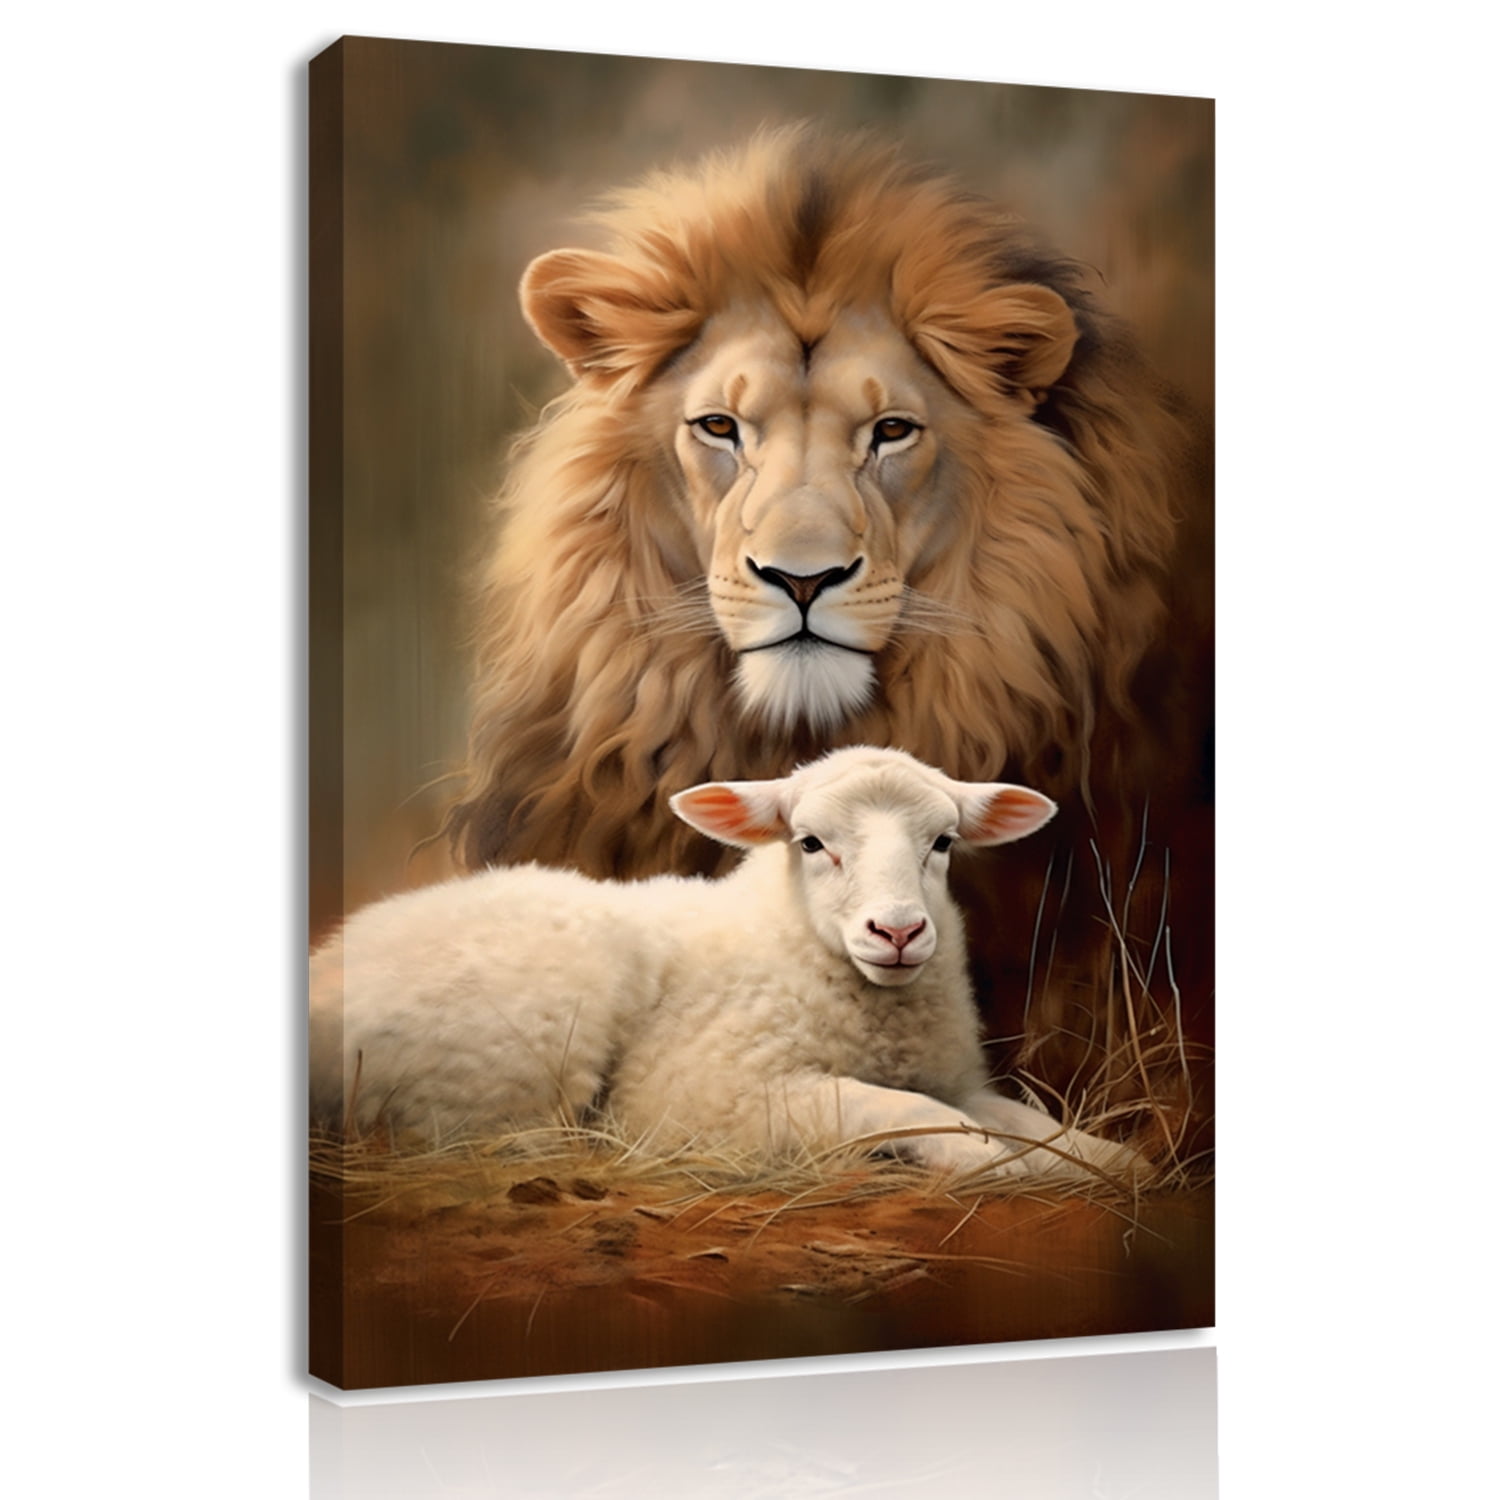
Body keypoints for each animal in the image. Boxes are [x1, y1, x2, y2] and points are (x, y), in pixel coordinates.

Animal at [310, 747, 1141, 1181]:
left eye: (942, 842)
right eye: (810, 842)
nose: (899, 931)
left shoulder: (955, 1077)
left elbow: (1039, 1125)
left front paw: (1116, 1162)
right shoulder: (711, 1096)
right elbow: (893, 1109)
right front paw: (981, 1157)